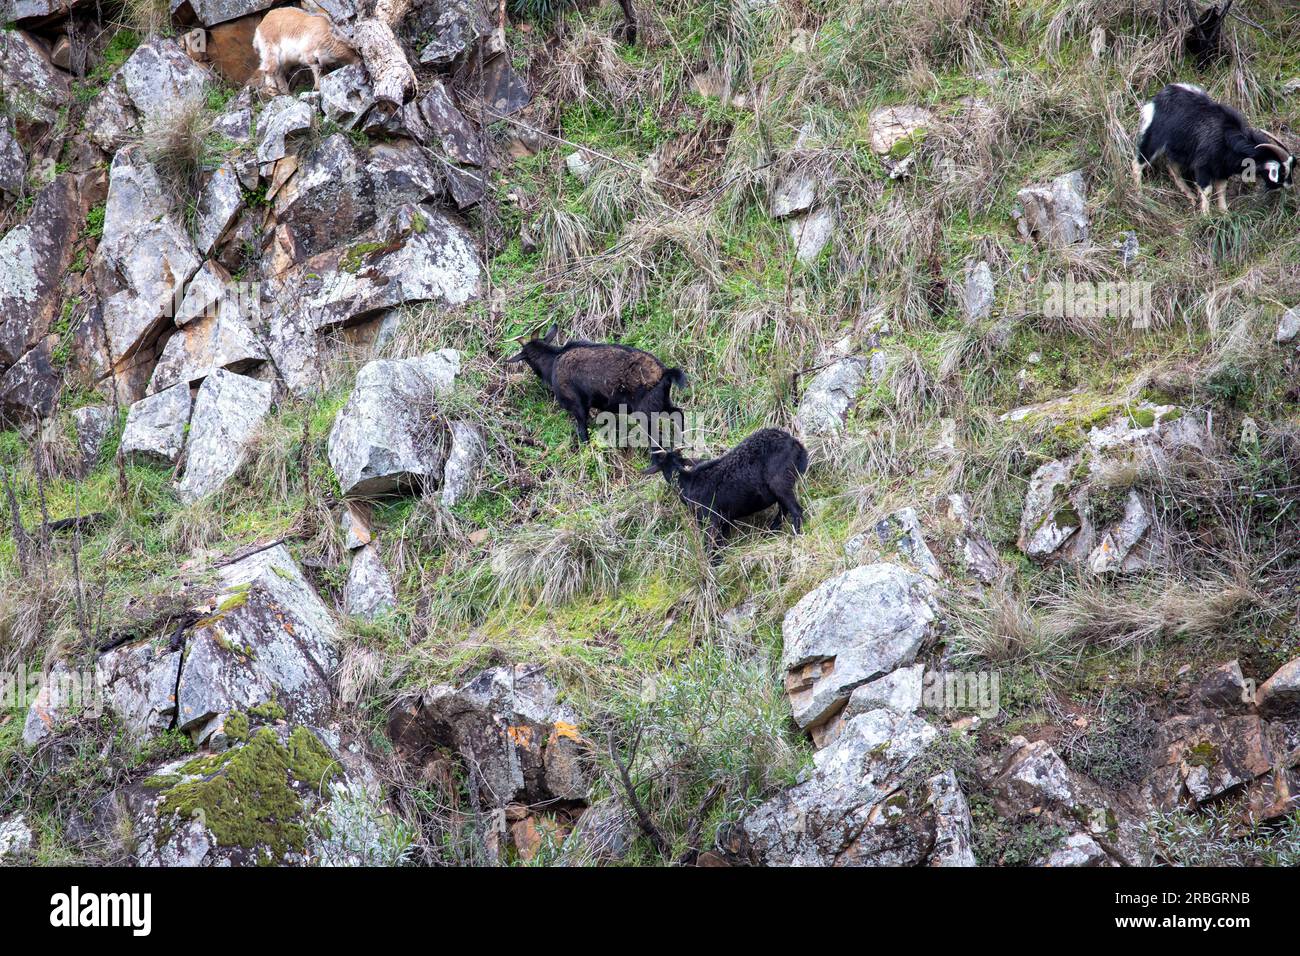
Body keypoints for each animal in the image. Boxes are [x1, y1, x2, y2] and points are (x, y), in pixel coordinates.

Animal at [507, 324, 686, 444]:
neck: (552, 363)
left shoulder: (577, 405)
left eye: (526, 358)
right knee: (679, 413)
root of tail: (666, 373)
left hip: (646, 411)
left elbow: (582, 433)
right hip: (662, 403)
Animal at [644, 428, 809, 550]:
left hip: (780, 482)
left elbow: (711, 547)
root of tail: (796, 444)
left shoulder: (712, 519)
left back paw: (795, 537)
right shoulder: (725, 521)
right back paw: (770, 533)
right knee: (783, 510)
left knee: (795, 510)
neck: (688, 482)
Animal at [1133, 82, 1294, 214]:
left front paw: (1224, 213)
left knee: (1172, 168)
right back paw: (1139, 194)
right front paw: (1206, 215)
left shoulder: (1223, 169)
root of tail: (1156, 100)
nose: (1290, 185)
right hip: (1155, 139)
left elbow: (1221, 190)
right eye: (1282, 171)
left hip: (1178, 149)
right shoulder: (1203, 166)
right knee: (1138, 163)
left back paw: (1190, 196)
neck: (1227, 139)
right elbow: (1208, 190)